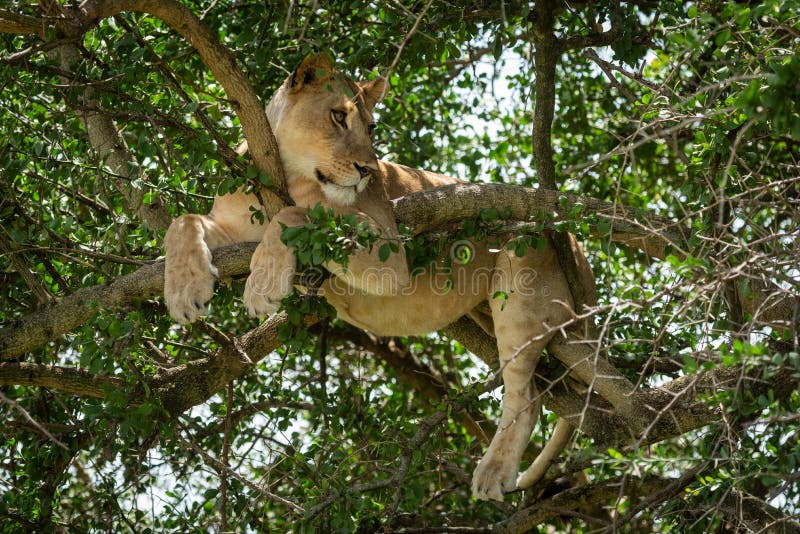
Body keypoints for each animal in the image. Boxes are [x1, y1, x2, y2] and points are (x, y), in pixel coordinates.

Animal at [163, 53, 596, 502]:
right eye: (338, 116)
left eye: (370, 127)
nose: (367, 169)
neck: (284, 174)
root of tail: (577, 250)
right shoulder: (230, 229)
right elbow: (182, 221)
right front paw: (183, 291)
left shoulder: (388, 252)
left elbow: (299, 213)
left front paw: (263, 284)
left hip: (519, 281)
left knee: (527, 396)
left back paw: (493, 472)